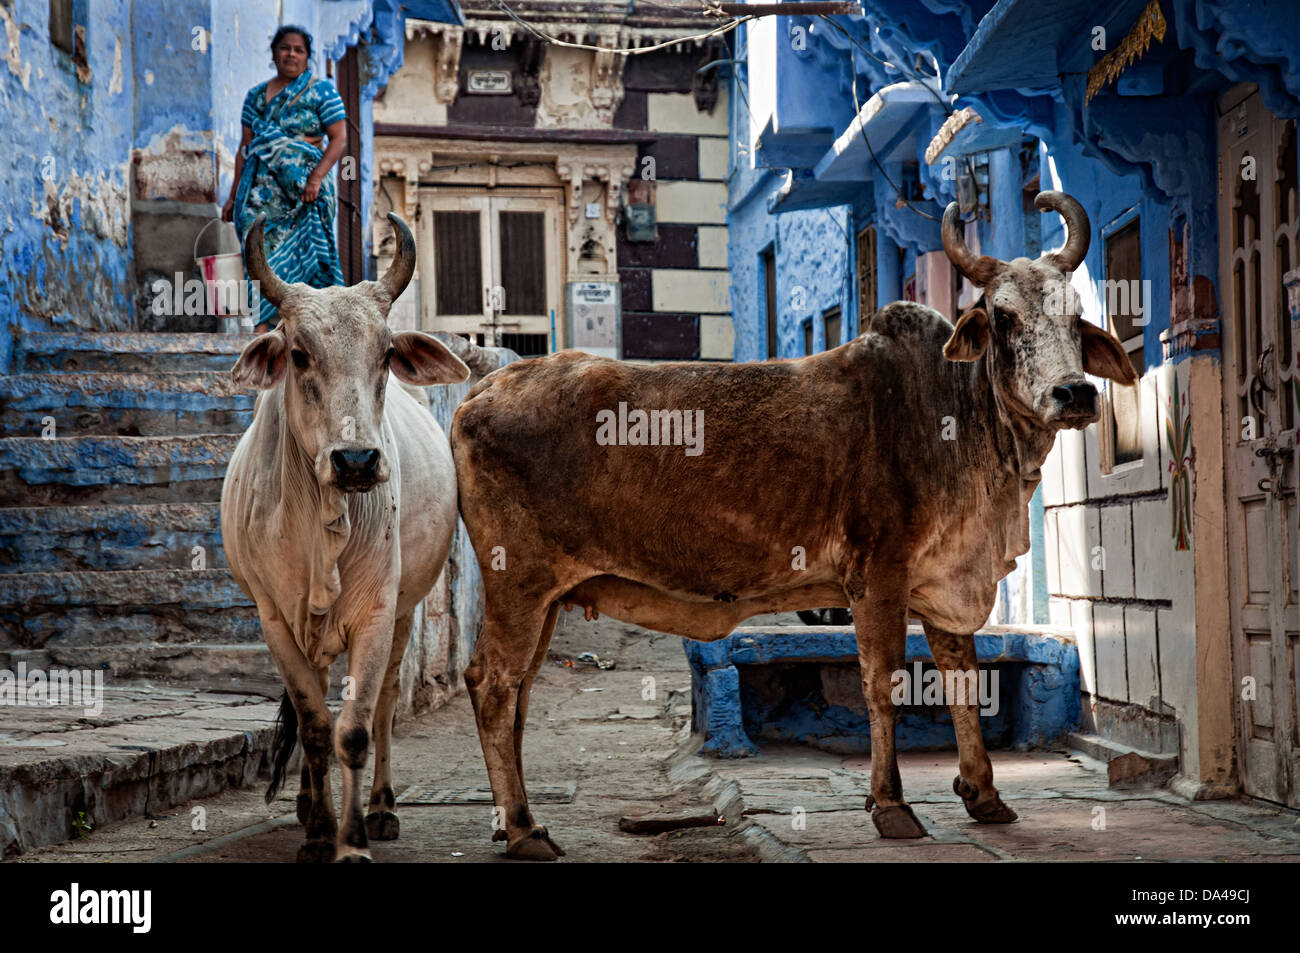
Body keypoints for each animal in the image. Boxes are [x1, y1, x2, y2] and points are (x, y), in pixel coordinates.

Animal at [221, 213, 469, 862]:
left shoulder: (378, 614)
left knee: (383, 705)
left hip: (405, 612)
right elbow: (313, 728)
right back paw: (310, 806)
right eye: (299, 354)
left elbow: (354, 728)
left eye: (385, 353)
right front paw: (317, 834)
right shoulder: (275, 620)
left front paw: (352, 840)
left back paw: (381, 808)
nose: (356, 460)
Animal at [450, 191, 1137, 861]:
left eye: (1076, 316)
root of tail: (488, 384)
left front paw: (983, 795)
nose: (1073, 393)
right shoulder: (878, 575)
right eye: (1003, 317)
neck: (957, 415)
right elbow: (883, 681)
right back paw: (521, 829)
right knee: (492, 683)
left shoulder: (947, 583)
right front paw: (891, 805)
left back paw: (514, 822)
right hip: (519, 582)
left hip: (546, 596)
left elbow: (962, 677)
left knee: (520, 689)